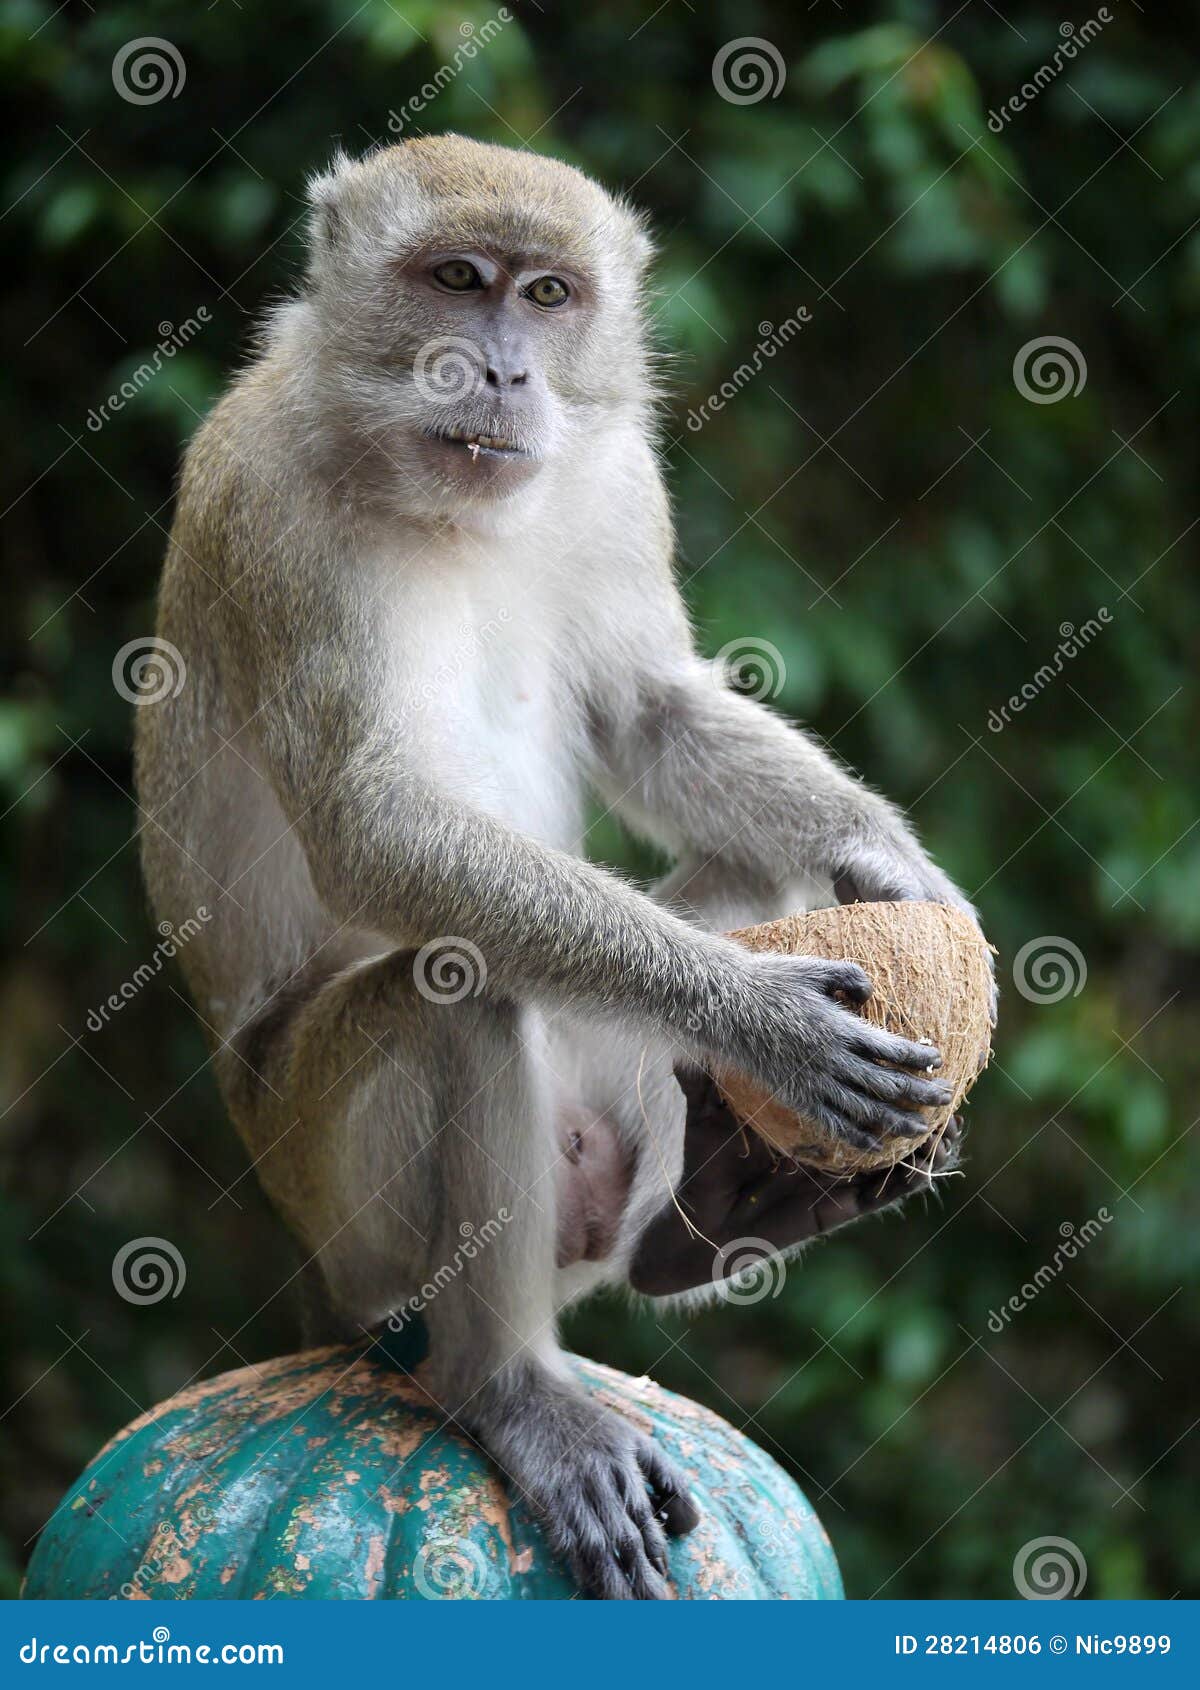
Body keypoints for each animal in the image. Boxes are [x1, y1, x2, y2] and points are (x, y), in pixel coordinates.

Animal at [134, 136, 982, 1600]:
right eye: (454, 281)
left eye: (545, 295)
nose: (499, 369)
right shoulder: (270, 503)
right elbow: (376, 828)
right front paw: (760, 1018)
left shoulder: (613, 475)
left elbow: (648, 710)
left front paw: (891, 859)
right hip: (333, 1196)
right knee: (457, 991)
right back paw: (511, 1384)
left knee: (749, 875)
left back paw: (720, 1203)